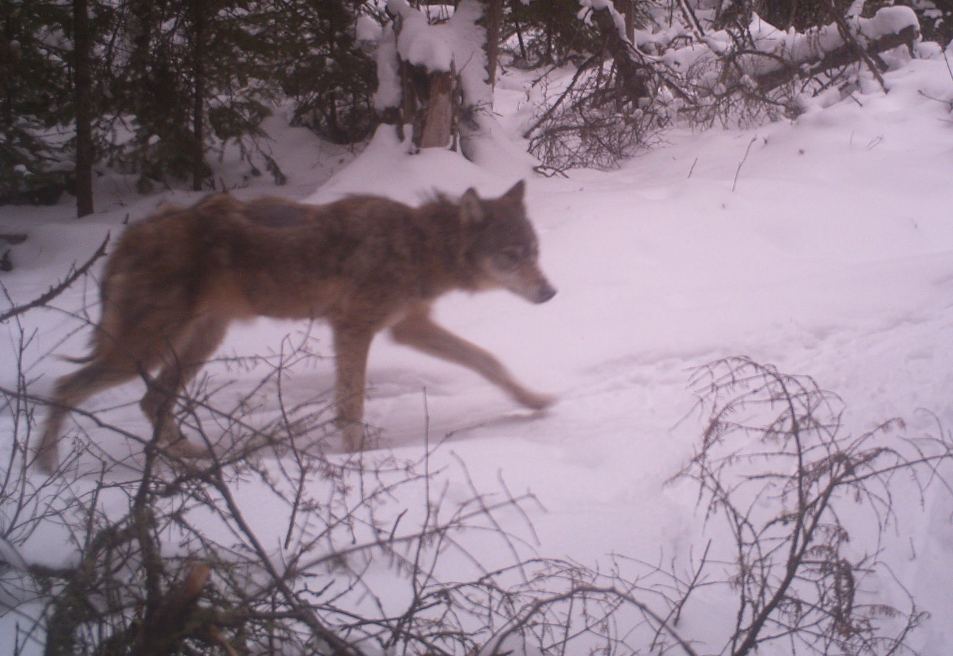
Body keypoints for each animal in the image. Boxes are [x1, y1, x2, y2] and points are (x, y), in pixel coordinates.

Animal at [36, 181, 557, 472]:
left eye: (535, 251)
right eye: (512, 256)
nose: (550, 292)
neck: (418, 244)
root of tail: (132, 233)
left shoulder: (408, 328)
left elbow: (488, 361)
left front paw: (533, 401)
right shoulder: (353, 328)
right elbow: (350, 409)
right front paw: (355, 462)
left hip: (198, 341)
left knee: (152, 401)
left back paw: (201, 459)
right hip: (142, 351)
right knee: (64, 387)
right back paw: (45, 470)